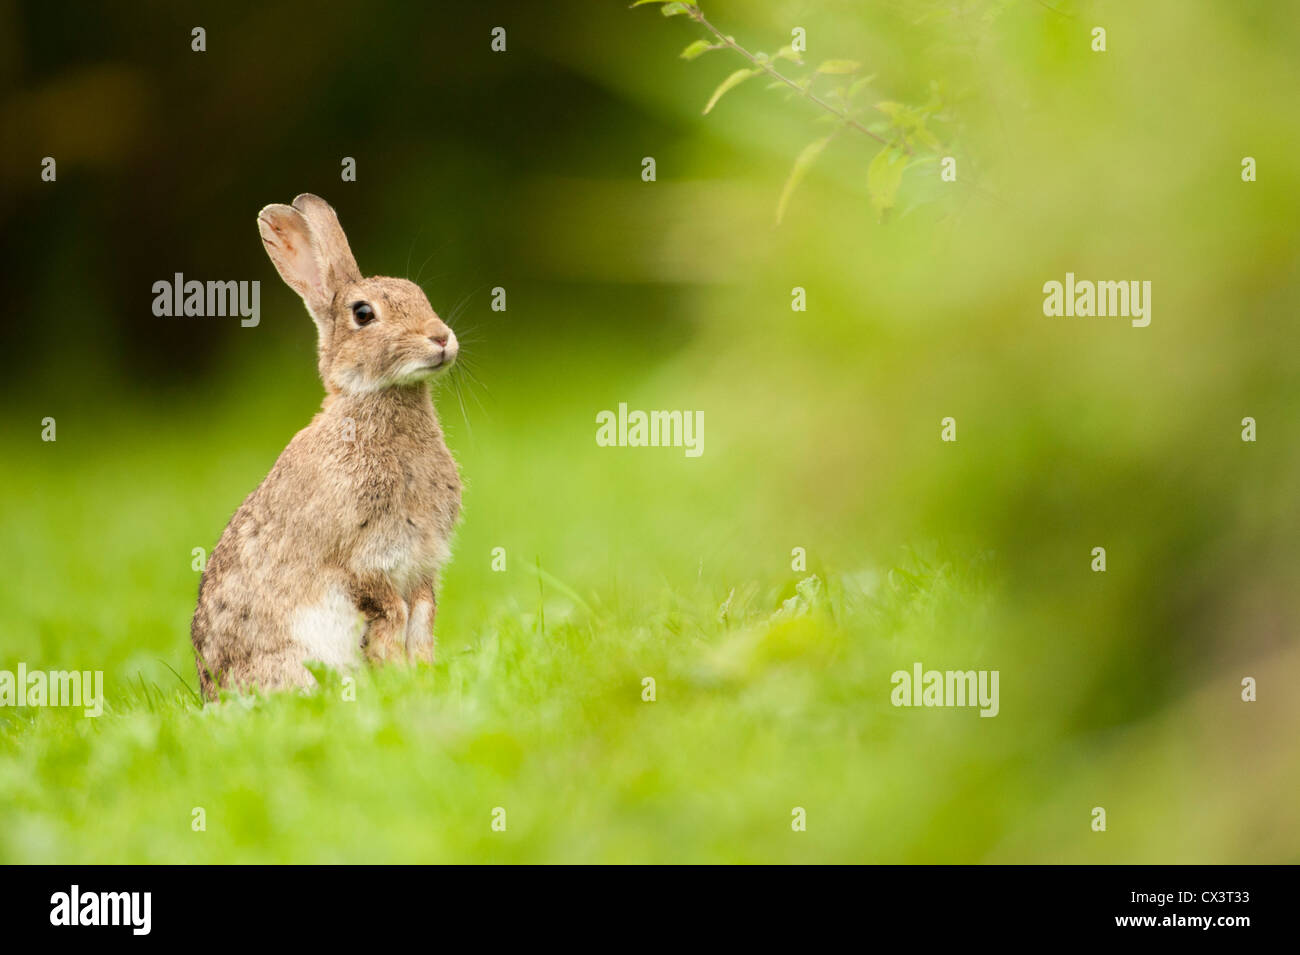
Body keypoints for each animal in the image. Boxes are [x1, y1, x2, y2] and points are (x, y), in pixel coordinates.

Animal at [191, 193, 462, 700]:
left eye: (419, 294)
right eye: (363, 314)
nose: (440, 337)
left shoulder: (421, 565)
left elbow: (421, 617)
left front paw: (420, 676)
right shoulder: (363, 561)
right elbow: (392, 617)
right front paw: (397, 676)